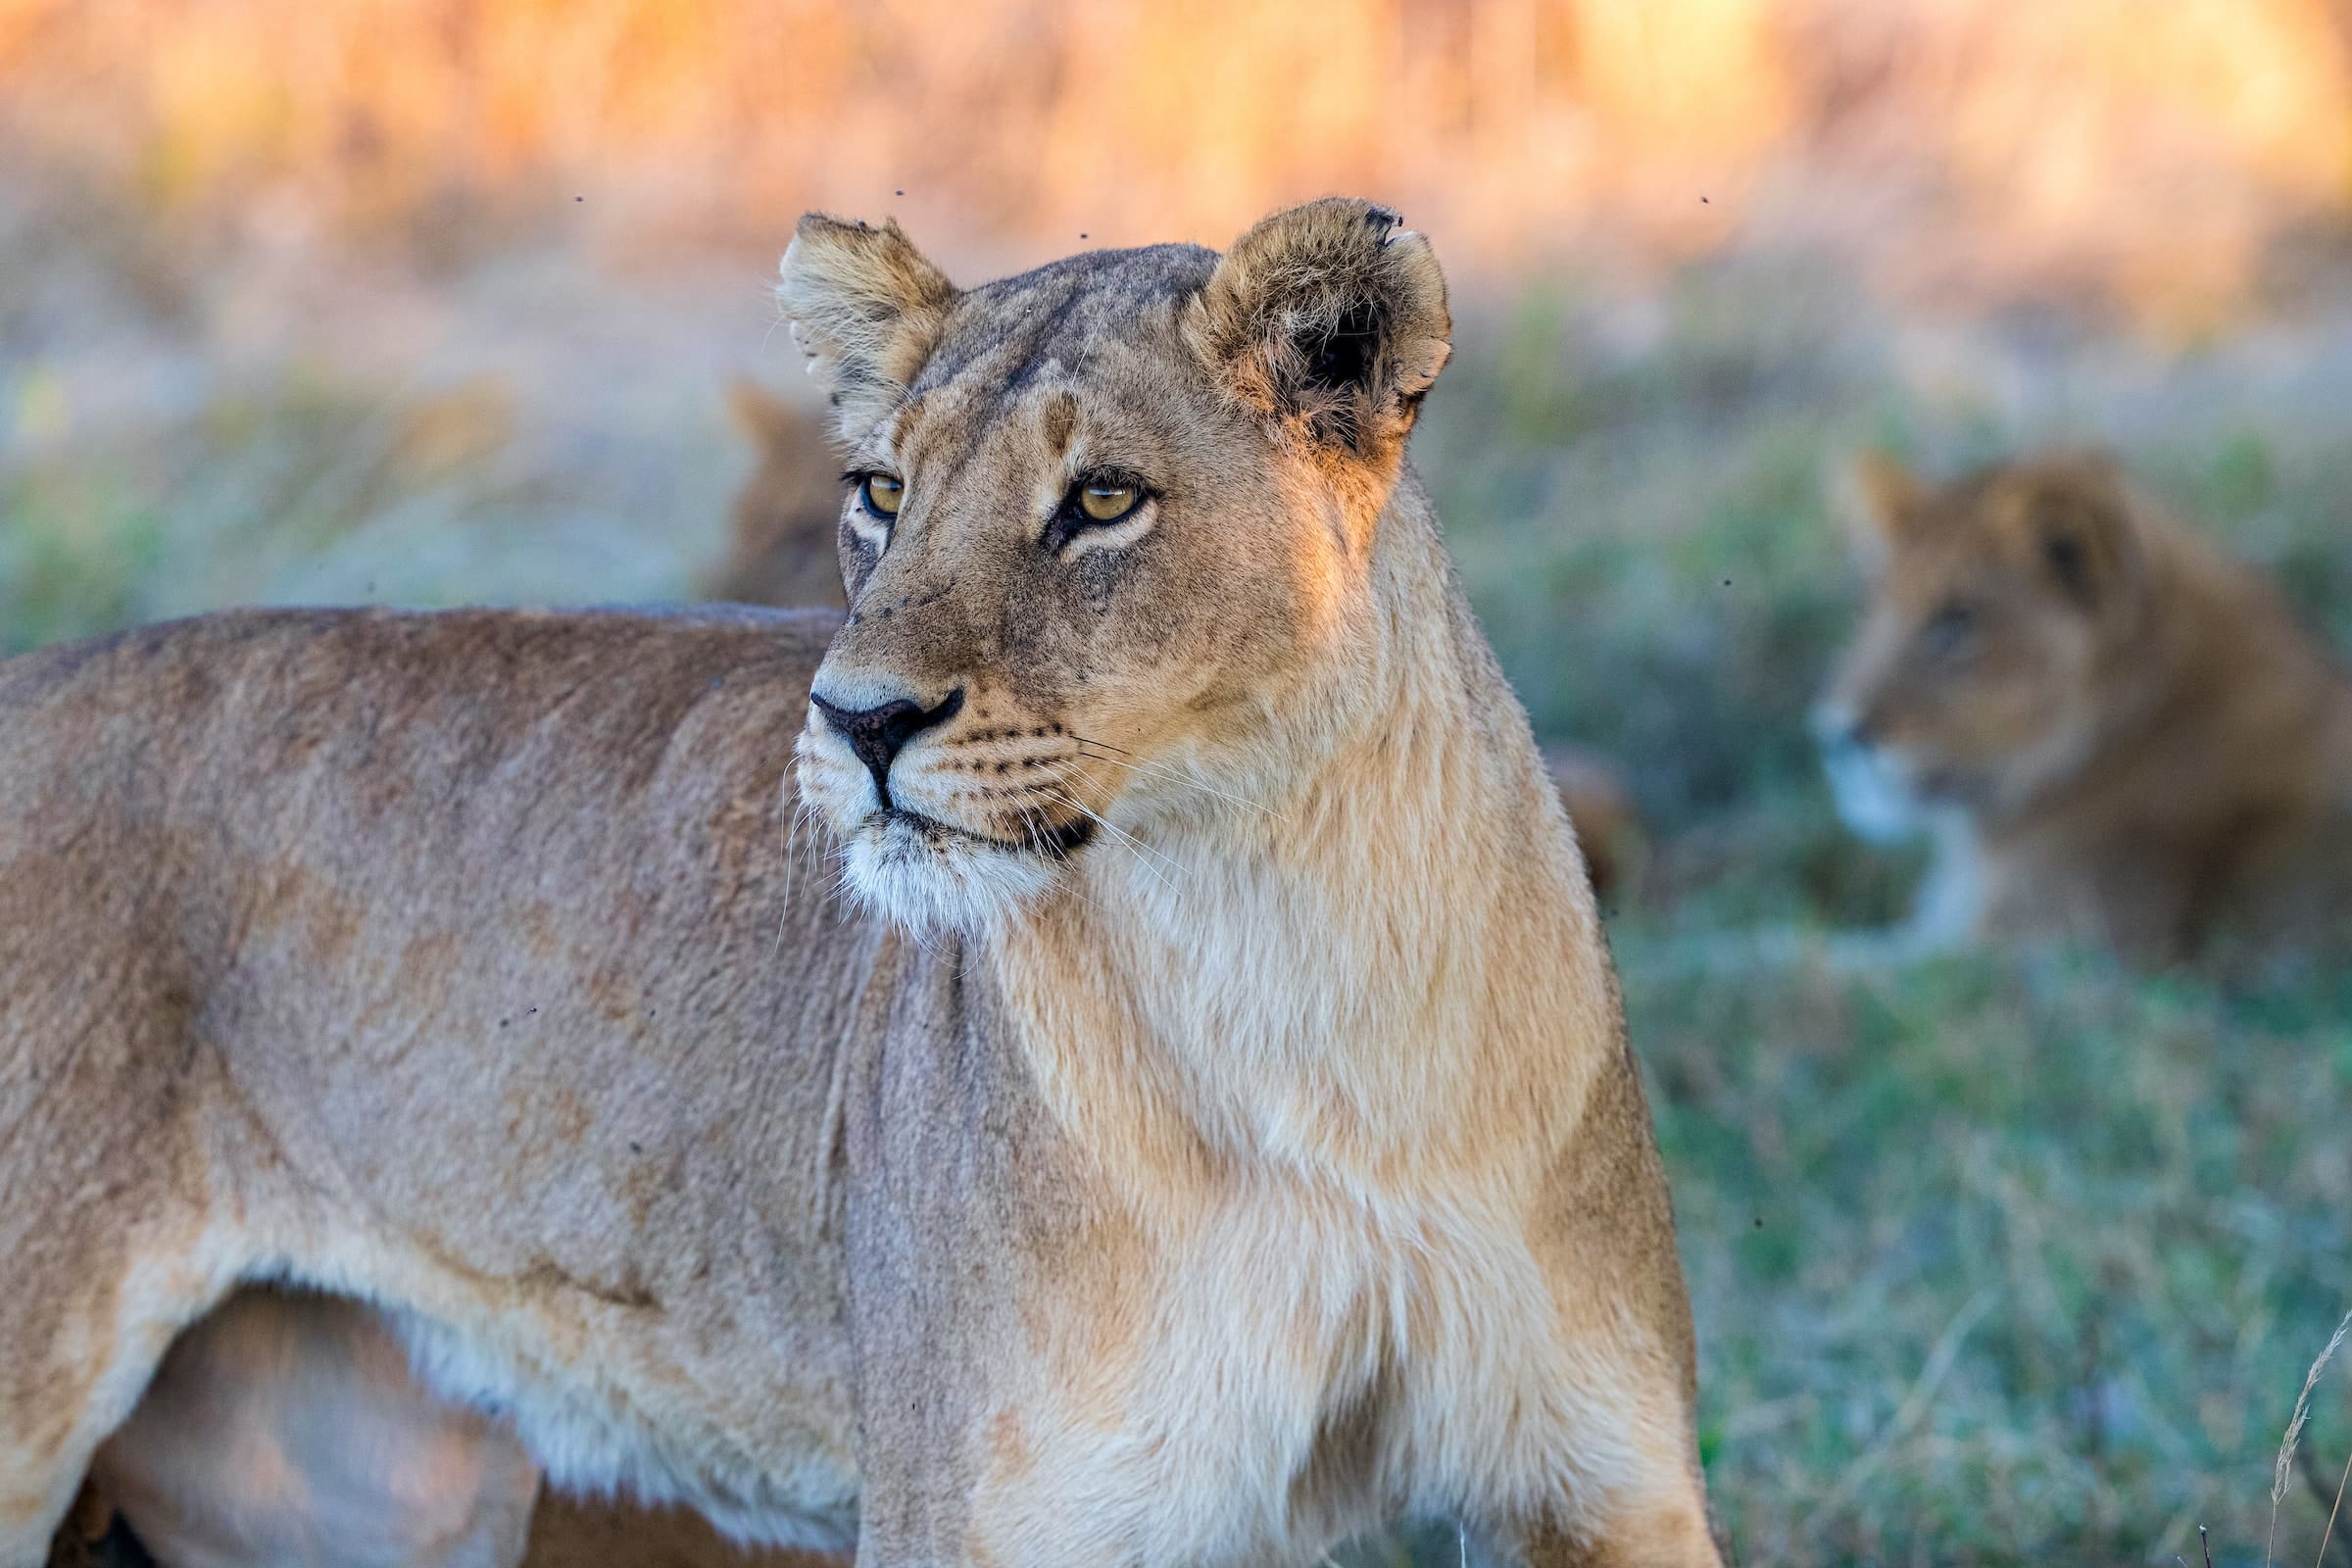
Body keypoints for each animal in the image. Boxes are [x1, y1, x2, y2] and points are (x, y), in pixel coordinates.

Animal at [0, 198, 1719, 1567]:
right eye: (882, 494)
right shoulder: (990, 1515)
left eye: (1104, 500)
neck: (1290, 954)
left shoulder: (1602, 1478)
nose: (858, 720)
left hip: (357, 1484)